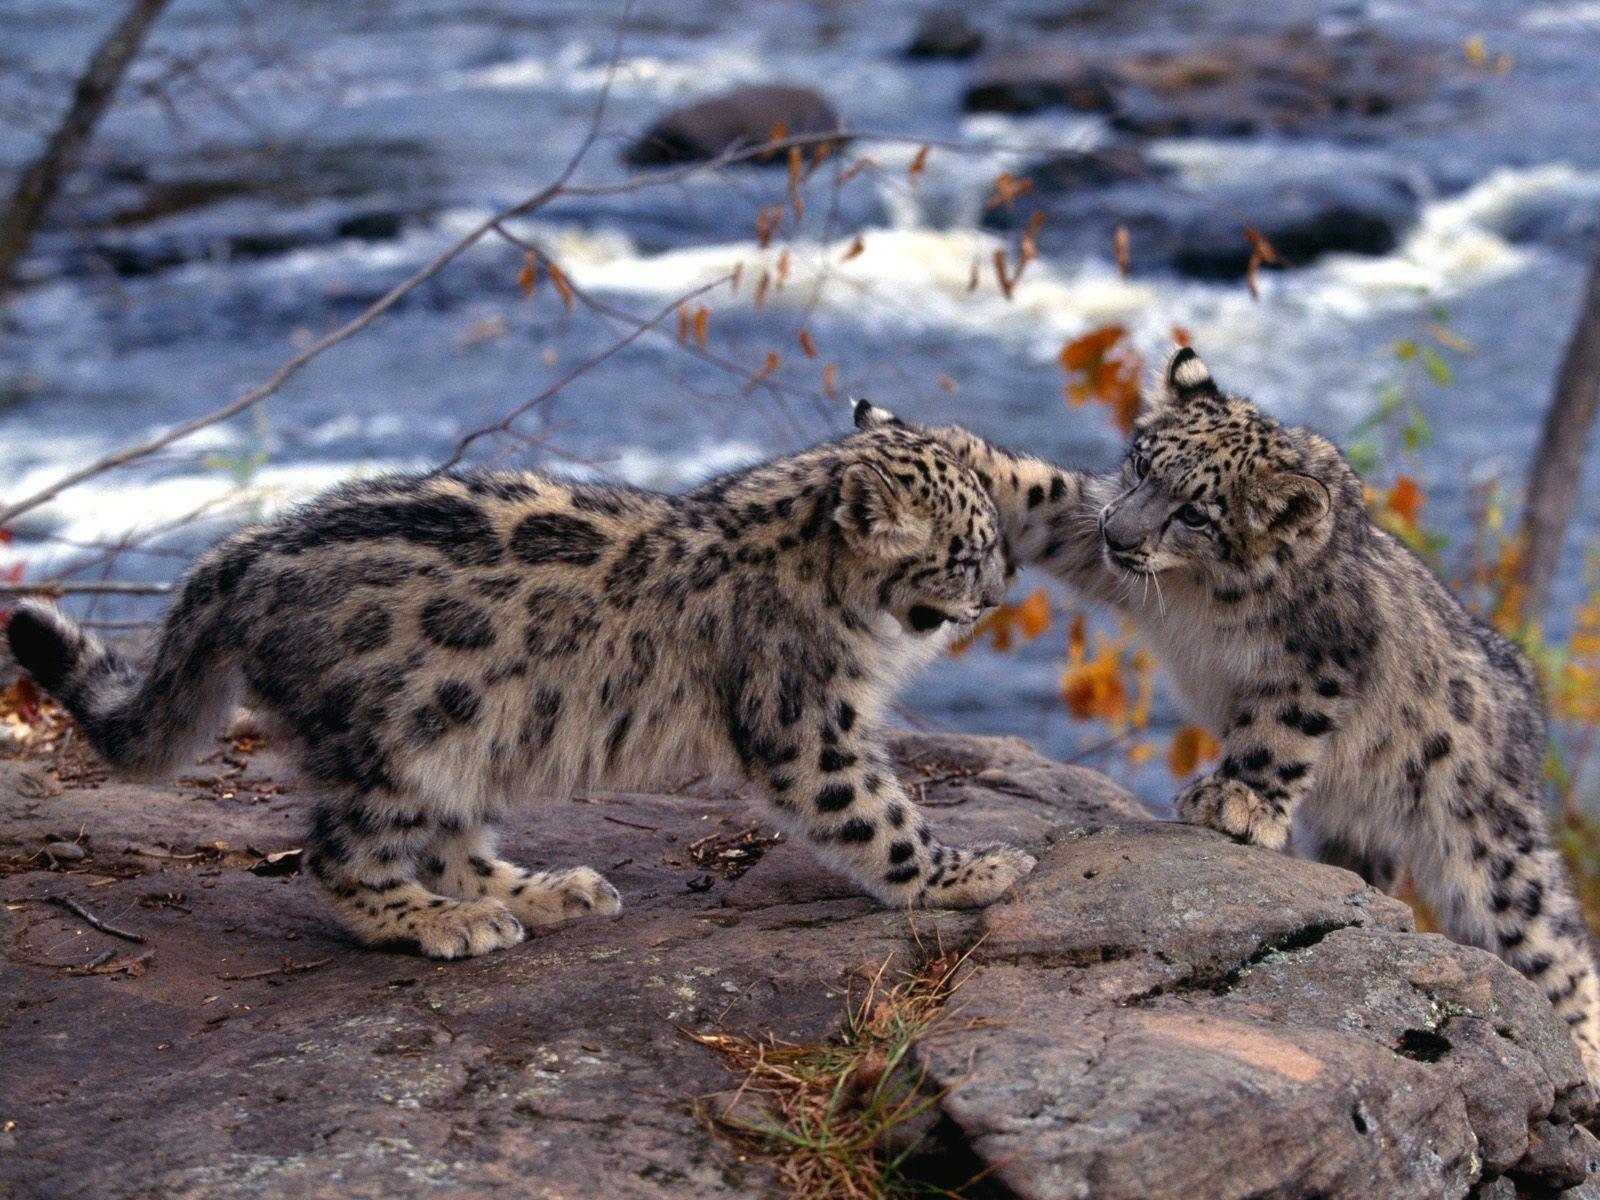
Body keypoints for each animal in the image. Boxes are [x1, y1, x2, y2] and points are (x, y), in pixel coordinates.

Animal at [5, 423, 1036, 959]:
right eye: (970, 550)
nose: (997, 595)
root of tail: (245, 550)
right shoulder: (805, 723)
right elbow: (876, 816)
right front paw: (968, 872)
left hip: (469, 737)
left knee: (455, 840)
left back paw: (547, 891)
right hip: (397, 744)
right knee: (338, 858)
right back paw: (449, 922)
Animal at [854, 346, 1600, 1083]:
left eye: (1197, 513)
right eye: (1141, 463)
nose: (1118, 531)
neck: (1196, 592)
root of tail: (1528, 712)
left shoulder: (1321, 657)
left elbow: (1278, 729)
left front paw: (1236, 800)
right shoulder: (1086, 530)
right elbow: (1037, 491)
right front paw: (915, 436)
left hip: (1488, 846)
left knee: (1555, 945)